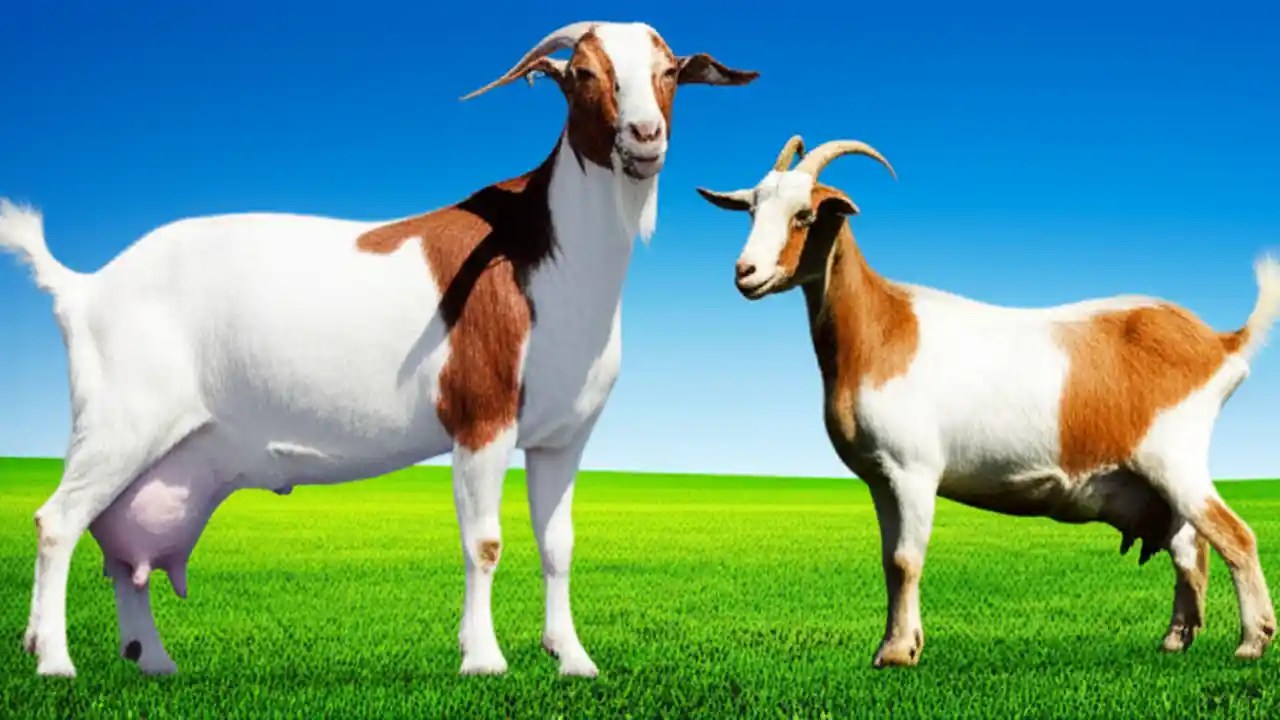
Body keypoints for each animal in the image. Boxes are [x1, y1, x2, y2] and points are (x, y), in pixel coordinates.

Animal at [0, 20, 758, 679]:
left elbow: (559, 545)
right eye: (583, 74)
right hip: (120, 421)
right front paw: (483, 659)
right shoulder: (480, 417)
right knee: (57, 523)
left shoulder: (561, 436)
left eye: (668, 73)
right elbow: (484, 542)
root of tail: (84, 286)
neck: (544, 253)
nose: (645, 137)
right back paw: (53, 660)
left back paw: (153, 661)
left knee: (123, 553)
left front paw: (572, 658)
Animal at [697, 135, 1280, 667]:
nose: (745, 273)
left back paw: (1252, 642)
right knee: (1190, 549)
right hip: (1160, 479)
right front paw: (895, 644)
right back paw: (1176, 639)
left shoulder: (913, 470)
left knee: (1236, 536)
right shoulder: (881, 479)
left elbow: (907, 560)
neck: (882, 326)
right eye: (751, 209)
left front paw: (899, 653)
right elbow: (889, 561)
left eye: (804, 215)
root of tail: (1219, 342)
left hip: (1173, 456)